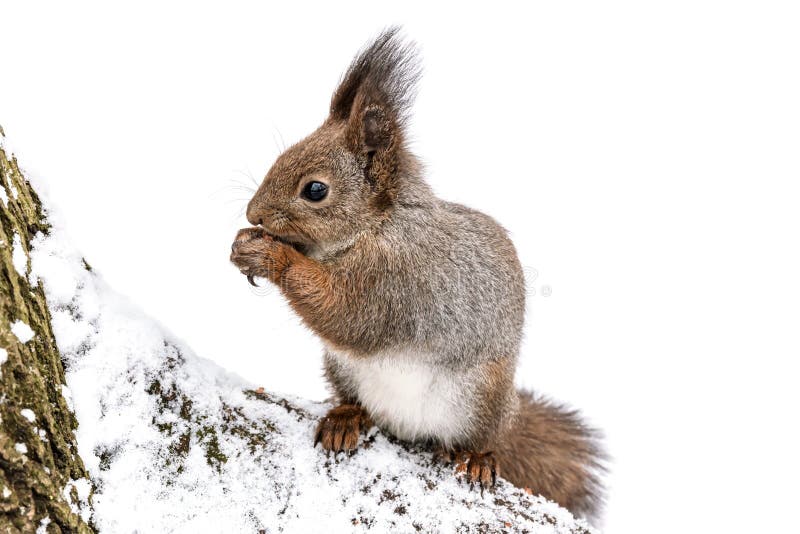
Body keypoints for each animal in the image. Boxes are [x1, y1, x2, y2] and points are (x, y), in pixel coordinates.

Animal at [230, 28, 605, 521]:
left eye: (315, 190)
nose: (253, 214)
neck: (379, 226)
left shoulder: (398, 281)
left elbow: (346, 314)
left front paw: (270, 256)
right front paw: (245, 244)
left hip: (483, 398)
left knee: (486, 438)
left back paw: (476, 457)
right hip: (343, 371)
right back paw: (347, 418)